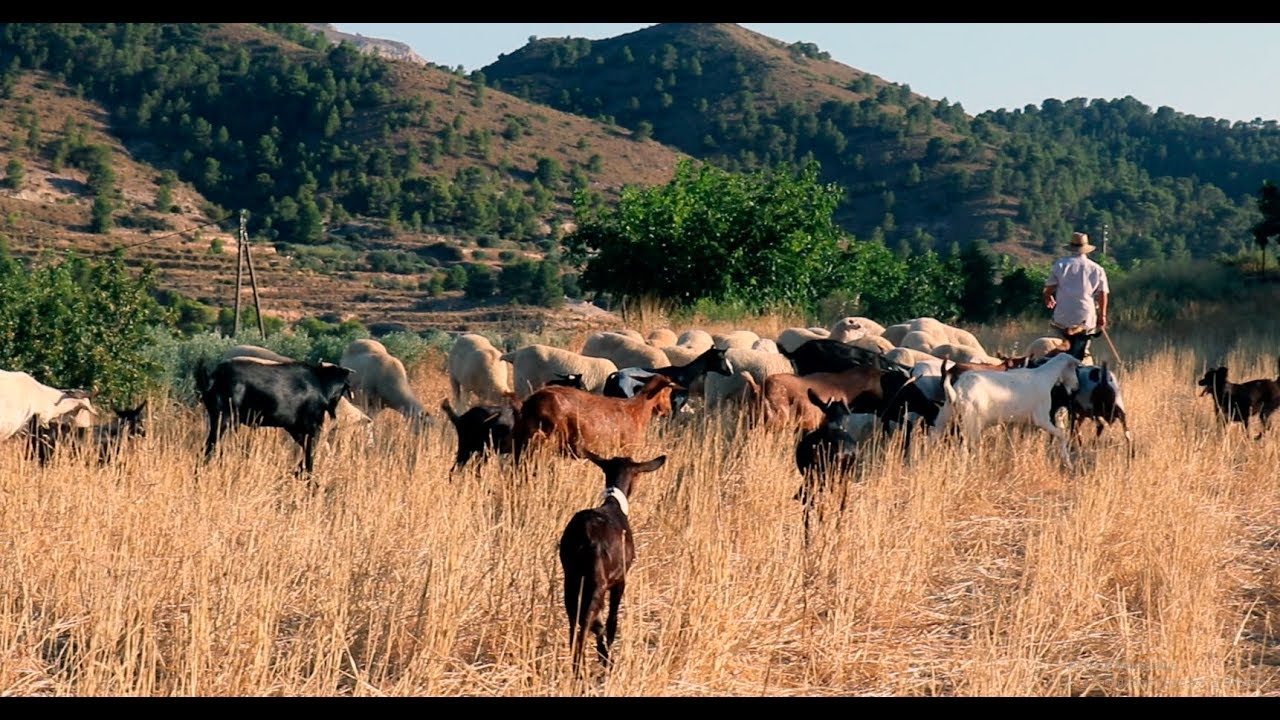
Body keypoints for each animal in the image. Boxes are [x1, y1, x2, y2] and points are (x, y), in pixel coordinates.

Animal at [511, 374, 680, 462]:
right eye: (667, 391)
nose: (668, 411)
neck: (637, 409)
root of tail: (530, 403)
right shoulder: (627, 448)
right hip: (544, 442)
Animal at [559, 451, 667, 676]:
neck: (613, 503)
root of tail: (585, 536)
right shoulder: (620, 580)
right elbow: (612, 621)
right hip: (597, 581)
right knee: (588, 618)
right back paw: (589, 665)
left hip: (572, 578)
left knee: (574, 618)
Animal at [934, 353, 1083, 463]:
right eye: (1073, 368)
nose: (1077, 386)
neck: (1046, 377)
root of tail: (958, 390)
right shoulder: (1042, 420)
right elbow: (1061, 435)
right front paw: (1067, 462)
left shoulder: (1020, 423)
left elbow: (1017, 443)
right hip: (971, 422)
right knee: (966, 448)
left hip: (945, 415)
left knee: (935, 437)